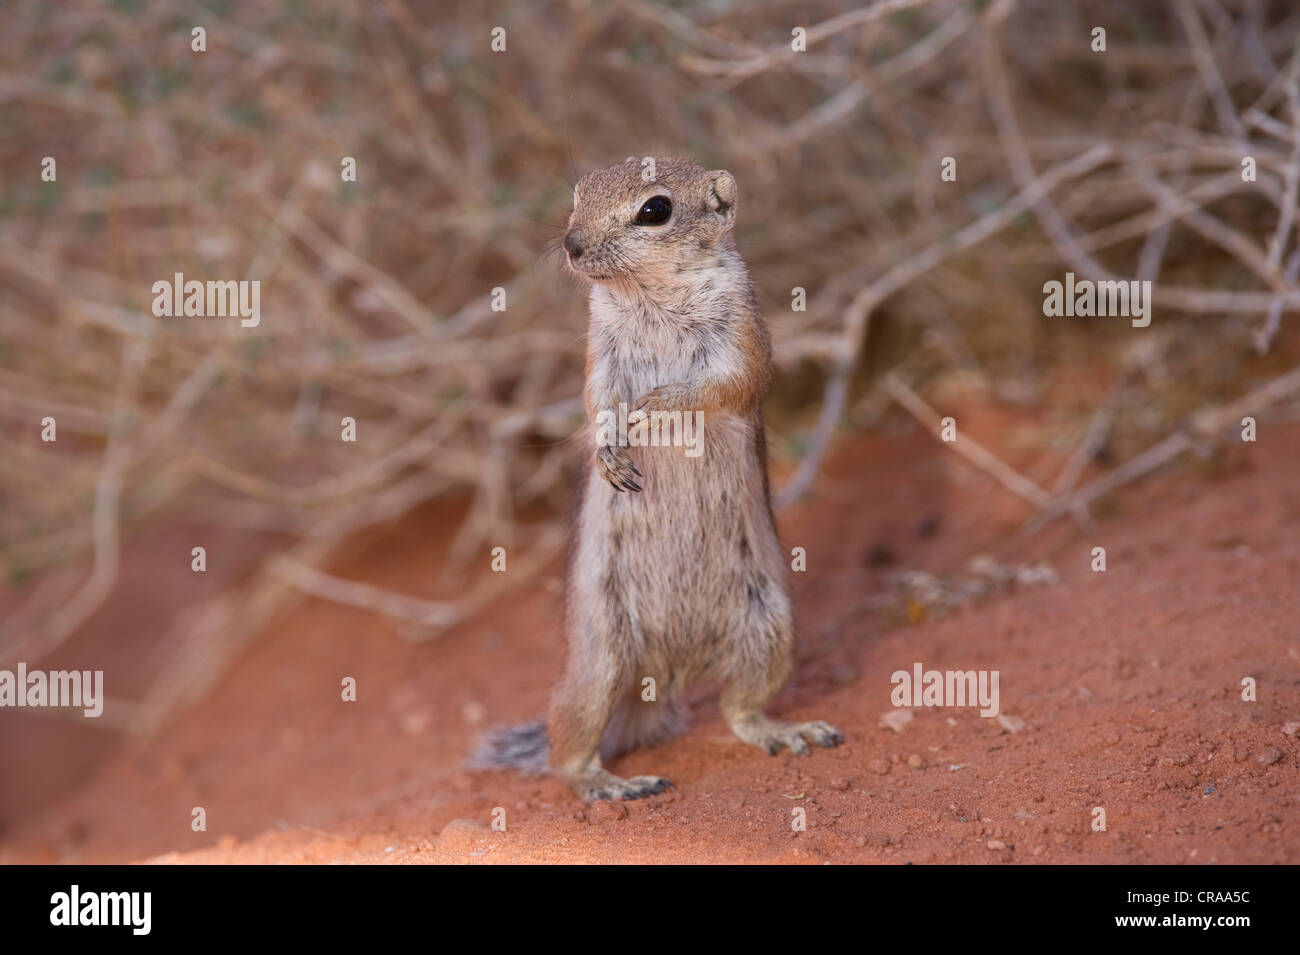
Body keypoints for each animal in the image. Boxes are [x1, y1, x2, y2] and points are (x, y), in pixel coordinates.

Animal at [474, 157, 842, 801]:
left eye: (656, 209)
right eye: (578, 194)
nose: (571, 245)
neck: (650, 292)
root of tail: (666, 679)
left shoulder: (743, 337)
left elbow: (725, 384)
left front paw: (658, 406)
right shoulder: (600, 349)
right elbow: (596, 401)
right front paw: (609, 452)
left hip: (770, 633)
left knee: (739, 711)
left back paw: (784, 731)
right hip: (596, 665)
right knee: (565, 755)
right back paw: (610, 784)